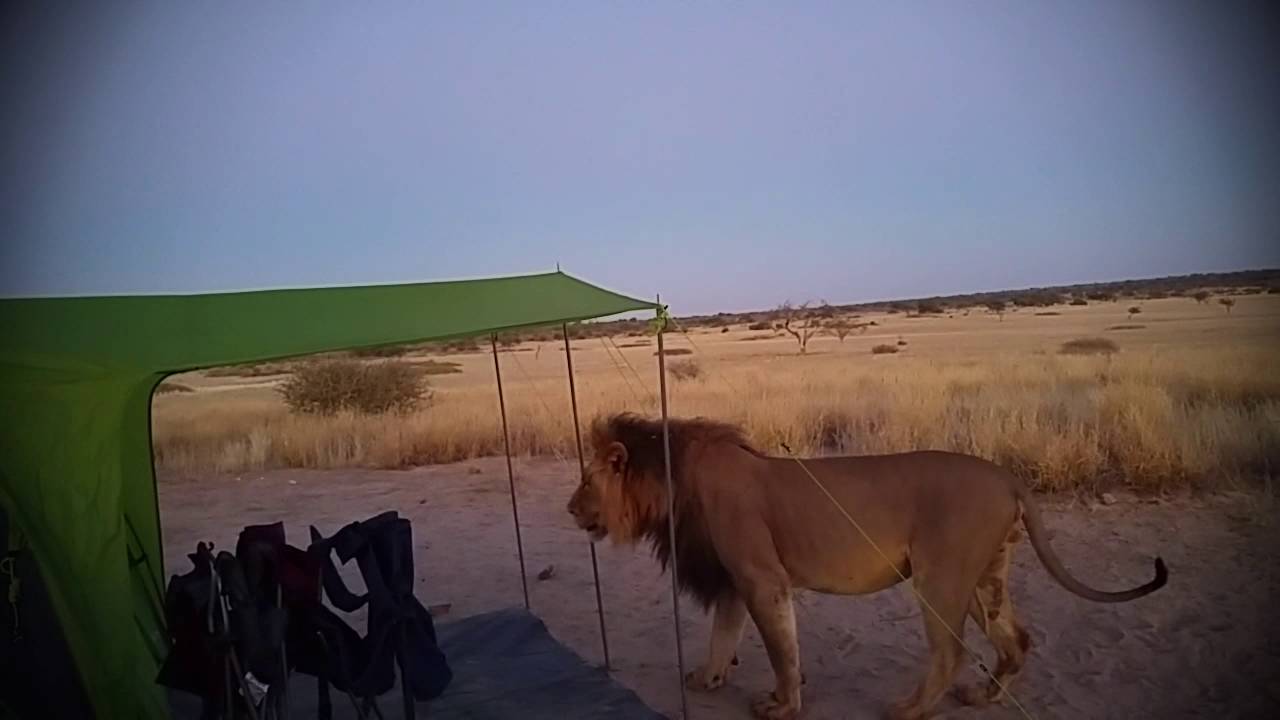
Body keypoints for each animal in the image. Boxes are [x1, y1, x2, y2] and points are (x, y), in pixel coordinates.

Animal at [566, 413, 1167, 720]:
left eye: (587, 480)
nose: (569, 509)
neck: (670, 484)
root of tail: (1007, 477)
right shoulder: (737, 578)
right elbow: (724, 634)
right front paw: (708, 678)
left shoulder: (763, 578)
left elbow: (780, 649)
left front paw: (783, 705)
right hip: (985, 577)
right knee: (1016, 638)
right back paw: (983, 697)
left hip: (941, 575)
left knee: (950, 650)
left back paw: (909, 709)